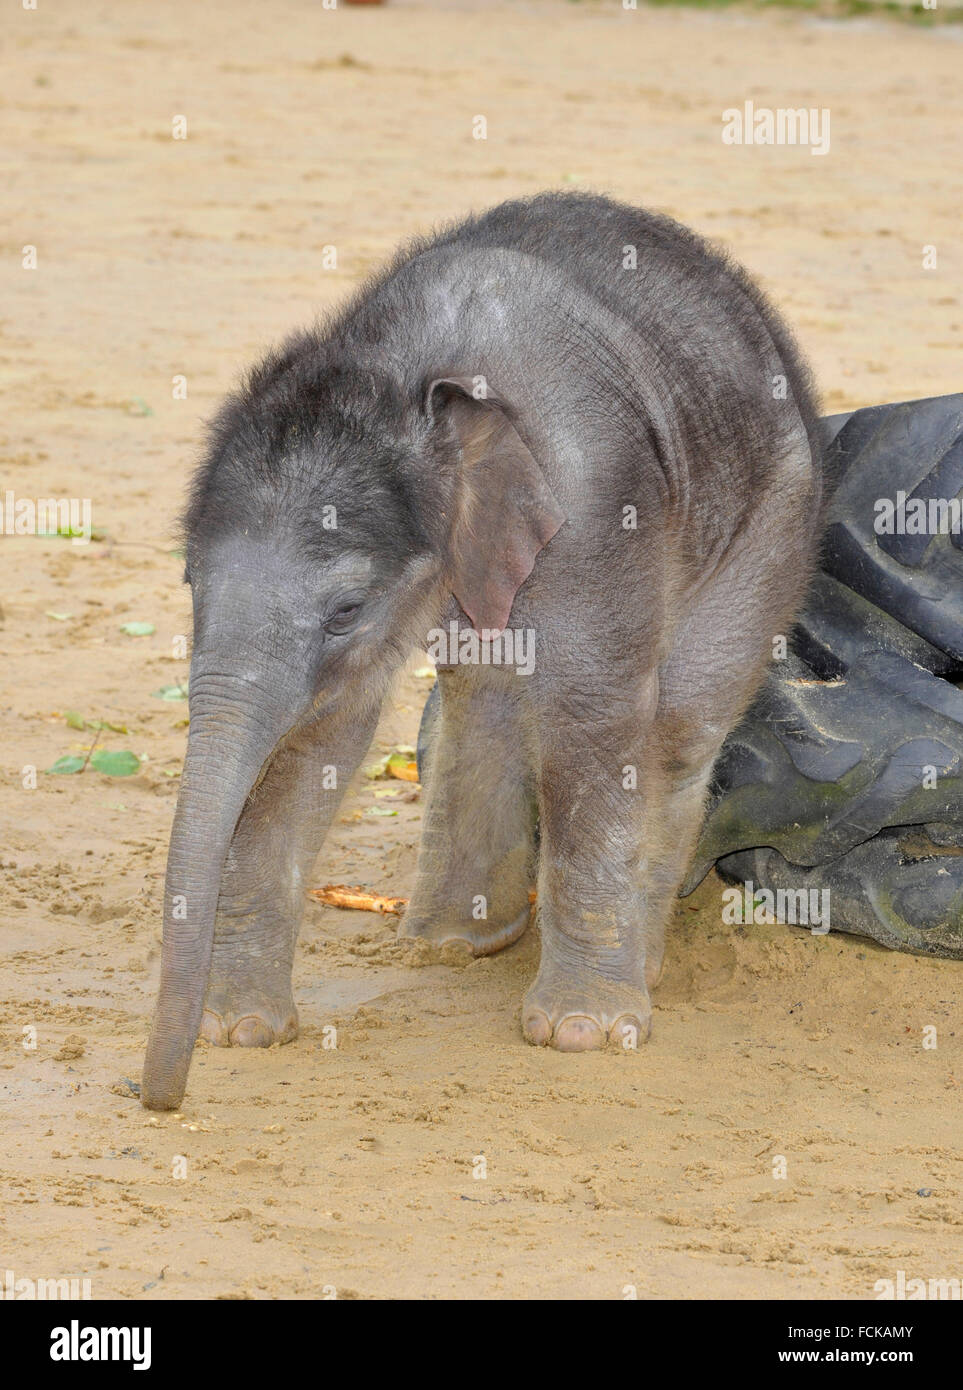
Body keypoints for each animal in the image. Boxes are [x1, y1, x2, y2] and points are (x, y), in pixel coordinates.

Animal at [141, 191, 827, 1110]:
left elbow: (593, 710)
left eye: (345, 608)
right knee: (484, 689)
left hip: (775, 519)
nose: (162, 1098)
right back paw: (447, 944)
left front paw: (582, 1036)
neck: (410, 372)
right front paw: (240, 1031)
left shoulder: (597, 505)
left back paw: (633, 970)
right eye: (188, 580)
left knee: (678, 726)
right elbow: (321, 733)